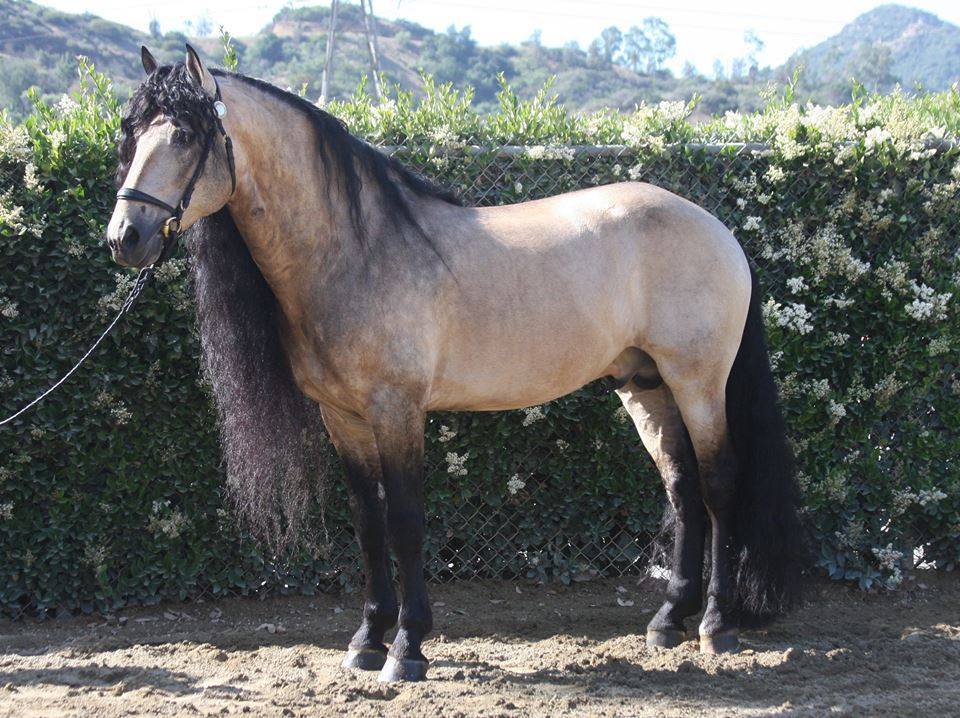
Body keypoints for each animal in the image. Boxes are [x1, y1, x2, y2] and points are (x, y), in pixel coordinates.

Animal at [106, 45, 806, 682]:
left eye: (186, 134)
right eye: (130, 134)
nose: (124, 238)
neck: (356, 251)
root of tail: (716, 229)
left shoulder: (397, 410)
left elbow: (406, 523)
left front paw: (407, 649)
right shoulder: (342, 418)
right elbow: (368, 524)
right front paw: (366, 639)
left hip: (697, 382)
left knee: (718, 486)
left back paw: (715, 626)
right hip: (644, 385)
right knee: (681, 486)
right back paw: (666, 622)